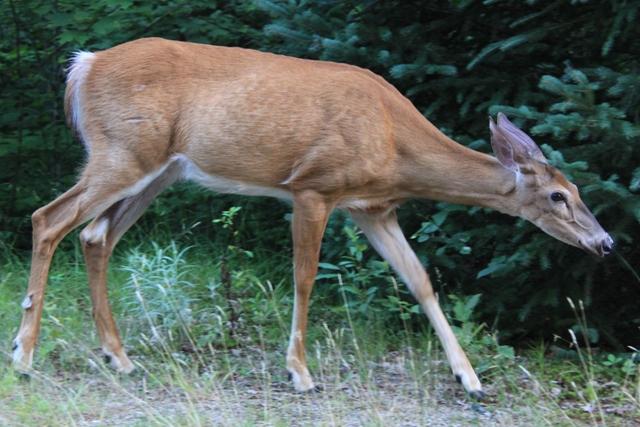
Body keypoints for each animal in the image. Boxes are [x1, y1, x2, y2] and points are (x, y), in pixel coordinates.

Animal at [12, 37, 613, 399]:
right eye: (558, 196)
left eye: (579, 189)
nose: (606, 242)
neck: (394, 142)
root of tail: (84, 65)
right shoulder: (313, 187)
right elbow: (304, 279)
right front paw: (299, 372)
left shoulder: (374, 208)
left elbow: (420, 281)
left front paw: (469, 378)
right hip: (123, 153)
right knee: (49, 218)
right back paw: (23, 355)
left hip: (158, 169)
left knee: (96, 236)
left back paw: (120, 357)